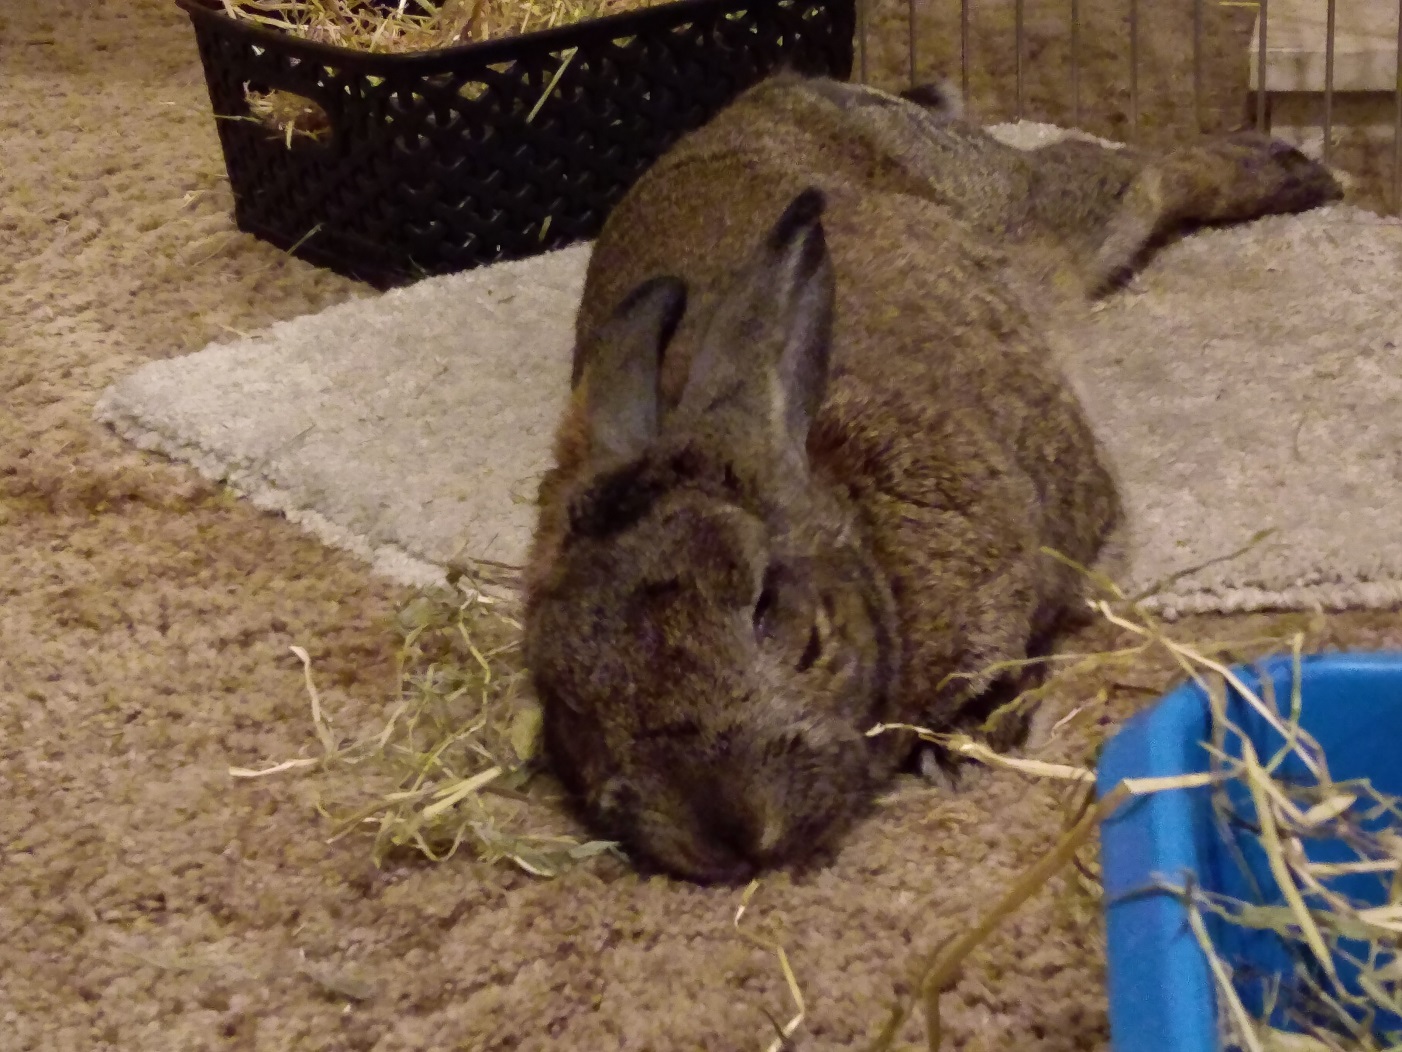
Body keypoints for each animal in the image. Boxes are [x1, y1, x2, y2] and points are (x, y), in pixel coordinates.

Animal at [519, 72, 1343, 884]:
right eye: (567, 701)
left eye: (790, 621)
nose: (728, 832)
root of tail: (782, 88)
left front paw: (968, 740)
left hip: (1037, 208)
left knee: (1137, 172)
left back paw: (1299, 173)